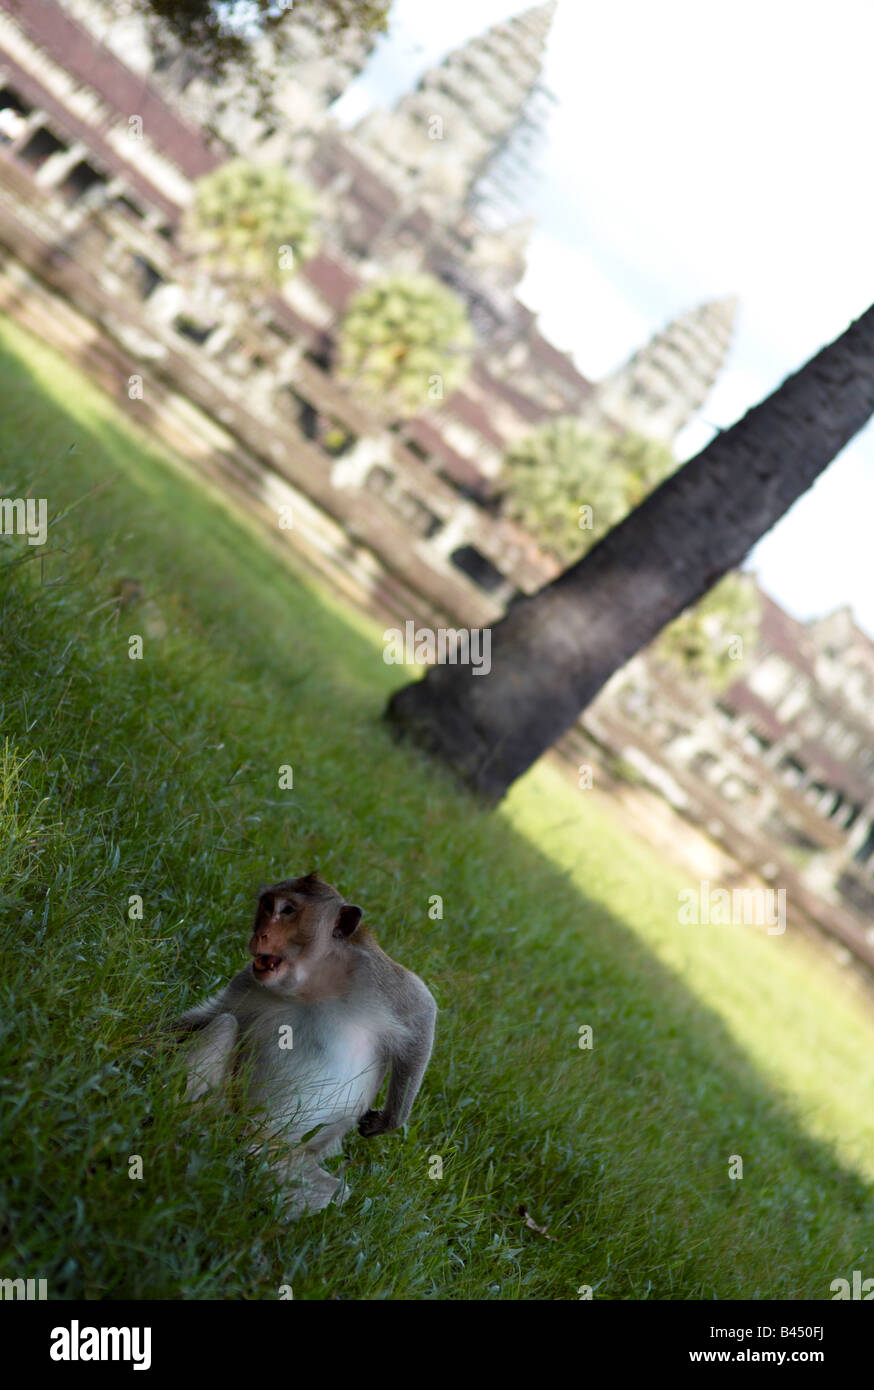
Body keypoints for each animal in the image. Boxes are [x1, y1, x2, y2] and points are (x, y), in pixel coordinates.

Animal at [173, 872, 437, 1215]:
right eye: (267, 905)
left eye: (288, 911)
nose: (260, 933)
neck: (313, 982)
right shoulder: (249, 979)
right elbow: (216, 1013)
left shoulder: (377, 979)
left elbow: (422, 1017)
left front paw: (390, 1119)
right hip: (223, 1109)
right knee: (225, 1024)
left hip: (285, 1157)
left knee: (332, 1191)